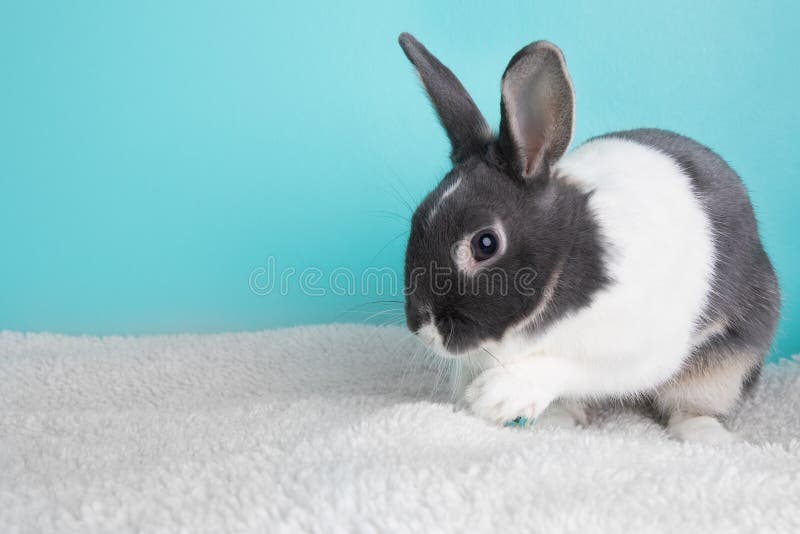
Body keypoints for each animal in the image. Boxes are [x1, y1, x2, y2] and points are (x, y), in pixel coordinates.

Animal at [398, 32, 780, 444]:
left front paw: (496, 398)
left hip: (724, 365)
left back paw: (706, 435)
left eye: (485, 244)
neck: (563, 260)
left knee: (691, 405)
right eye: (417, 218)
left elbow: (572, 368)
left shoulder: (638, 351)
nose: (421, 328)